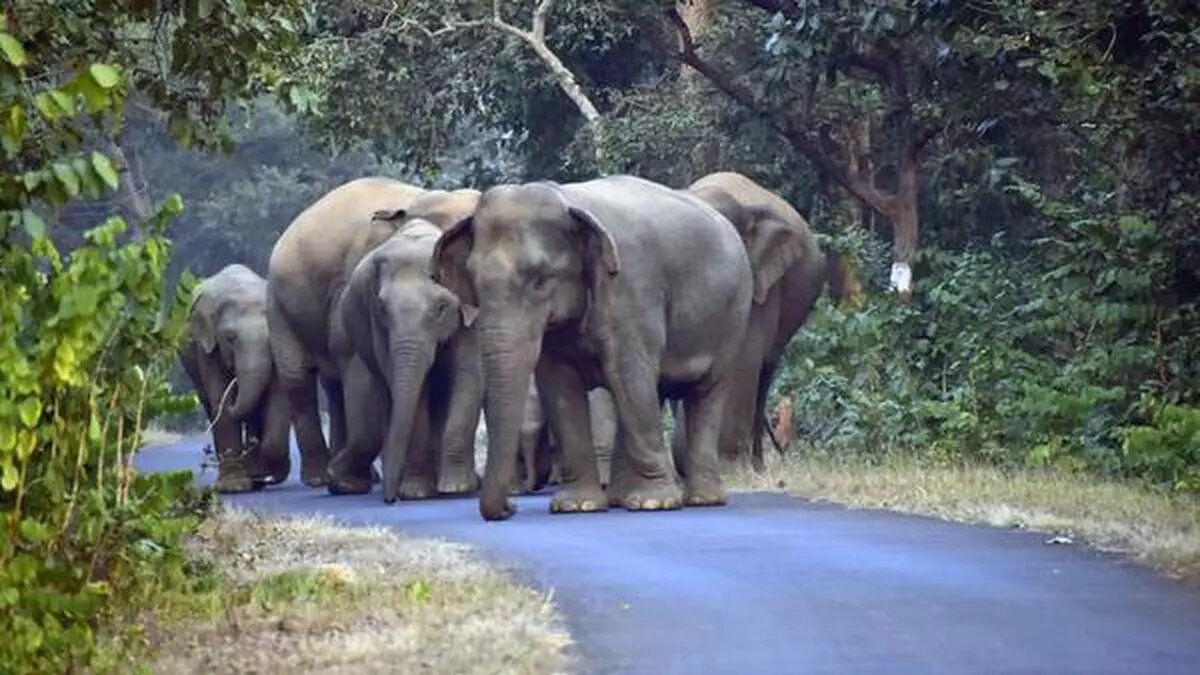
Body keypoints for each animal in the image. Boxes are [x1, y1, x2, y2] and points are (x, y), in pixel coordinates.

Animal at [180, 264, 290, 493]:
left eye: (271, 337)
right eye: (230, 338)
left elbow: (276, 396)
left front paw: (261, 474)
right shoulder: (207, 346)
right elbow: (219, 395)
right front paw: (234, 487)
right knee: (209, 404)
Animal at [325, 193, 486, 503]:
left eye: (441, 307)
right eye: (382, 308)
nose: (390, 500)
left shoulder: (471, 309)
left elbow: (467, 376)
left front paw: (457, 488)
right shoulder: (378, 329)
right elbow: (413, 395)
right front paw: (416, 493)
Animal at [433, 175, 753, 520]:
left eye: (540, 279)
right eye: (474, 281)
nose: (511, 506)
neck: (565, 197)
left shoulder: (630, 289)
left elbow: (629, 374)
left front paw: (655, 503)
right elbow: (560, 386)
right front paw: (577, 506)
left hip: (733, 314)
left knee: (705, 391)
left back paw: (699, 499)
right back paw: (623, 498)